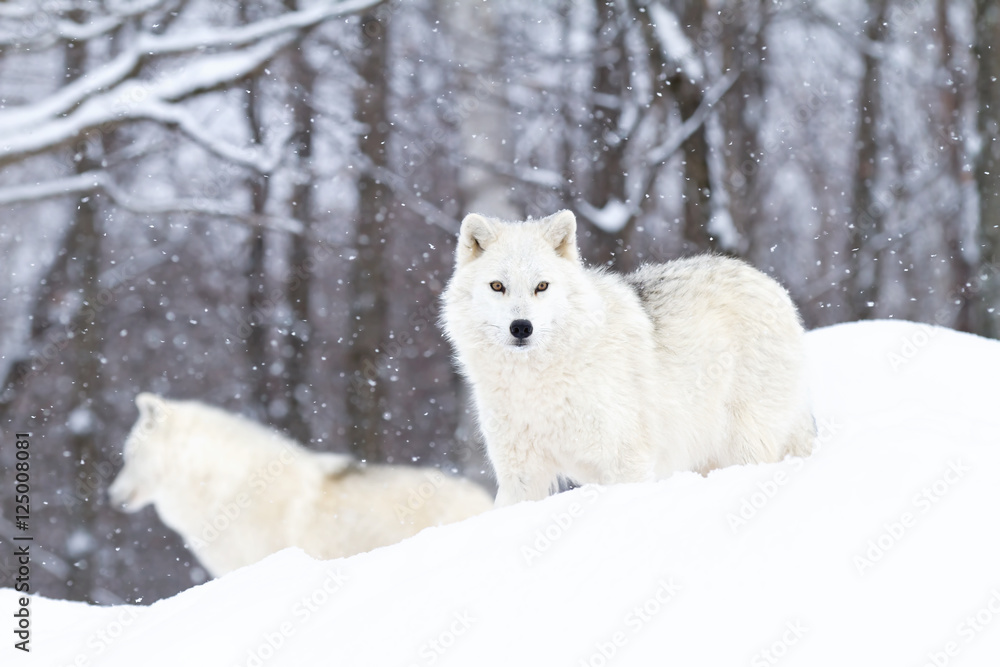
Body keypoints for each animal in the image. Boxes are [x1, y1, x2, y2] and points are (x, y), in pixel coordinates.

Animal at [440, 210, 815, 507]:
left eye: (542, 286)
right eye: (497, 286)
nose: (521, 327)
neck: (537, 382)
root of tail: (772, 285)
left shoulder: (626, 462)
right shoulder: (520, 475)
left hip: (743, 443)